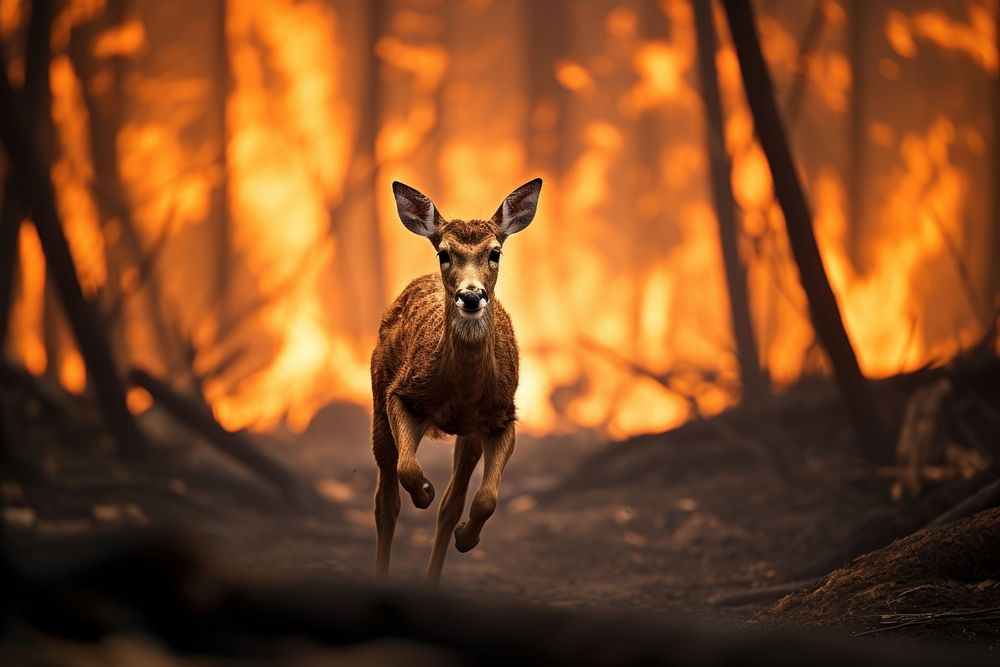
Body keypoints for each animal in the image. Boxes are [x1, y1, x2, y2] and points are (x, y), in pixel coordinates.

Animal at [370, 178, 542, 584]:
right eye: (444, 253)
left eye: (495, 252)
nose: (471, 294)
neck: (460, 392)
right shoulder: (401, 392)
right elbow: (407, 469)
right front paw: (424, 492)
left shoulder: (501, 417)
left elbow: (484, 499)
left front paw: (466, 537)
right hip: (377, 393)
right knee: (385, 501)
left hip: (469, 434)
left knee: (452, 504)